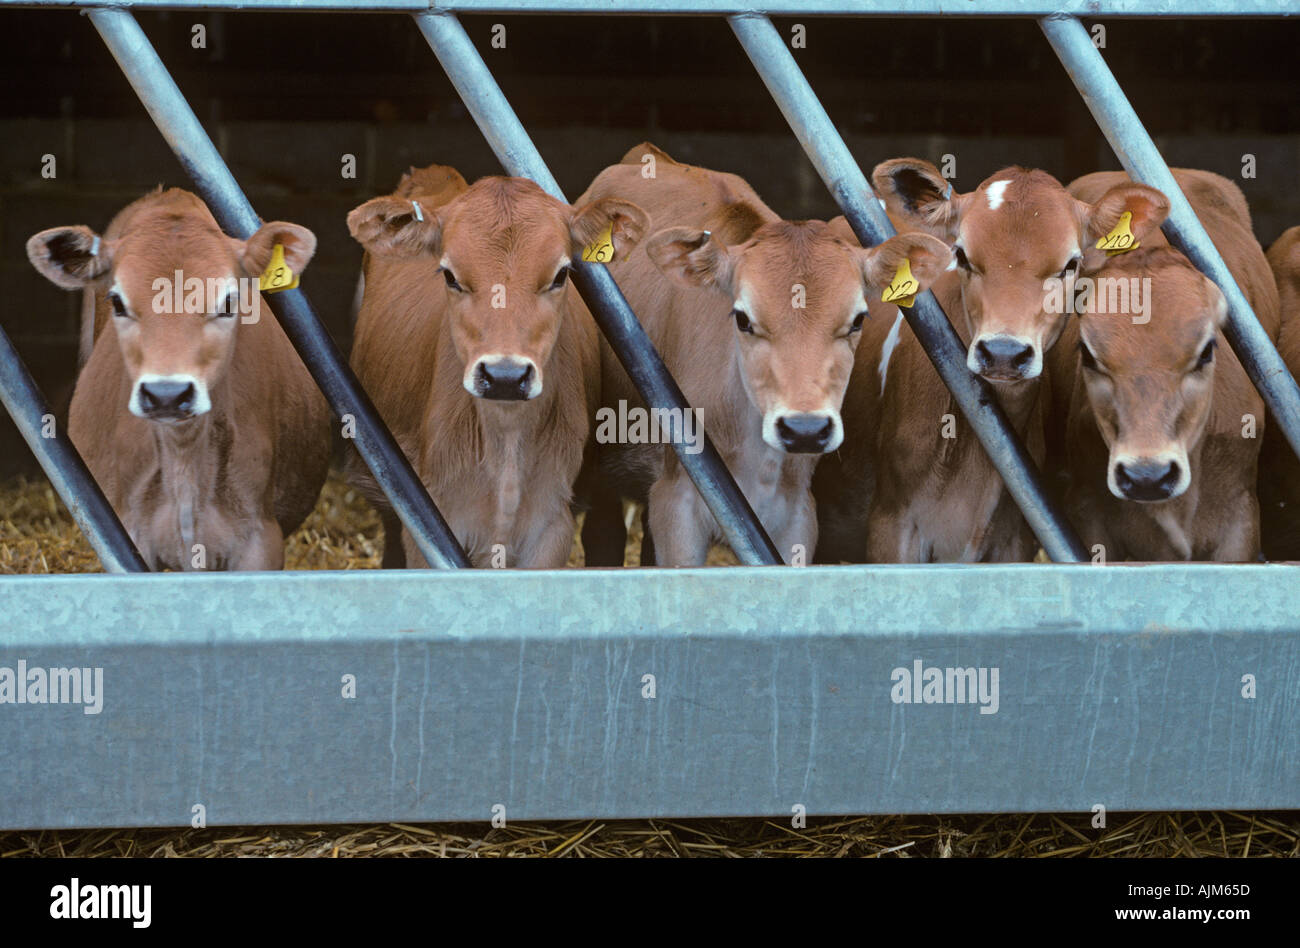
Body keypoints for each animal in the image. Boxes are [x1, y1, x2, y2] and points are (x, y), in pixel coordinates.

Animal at [25, 187, 332, 570]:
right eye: (118, 302)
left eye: (228, 302)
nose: (167, 394)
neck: (184, 454)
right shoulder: (131, 535)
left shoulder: (261, 541)